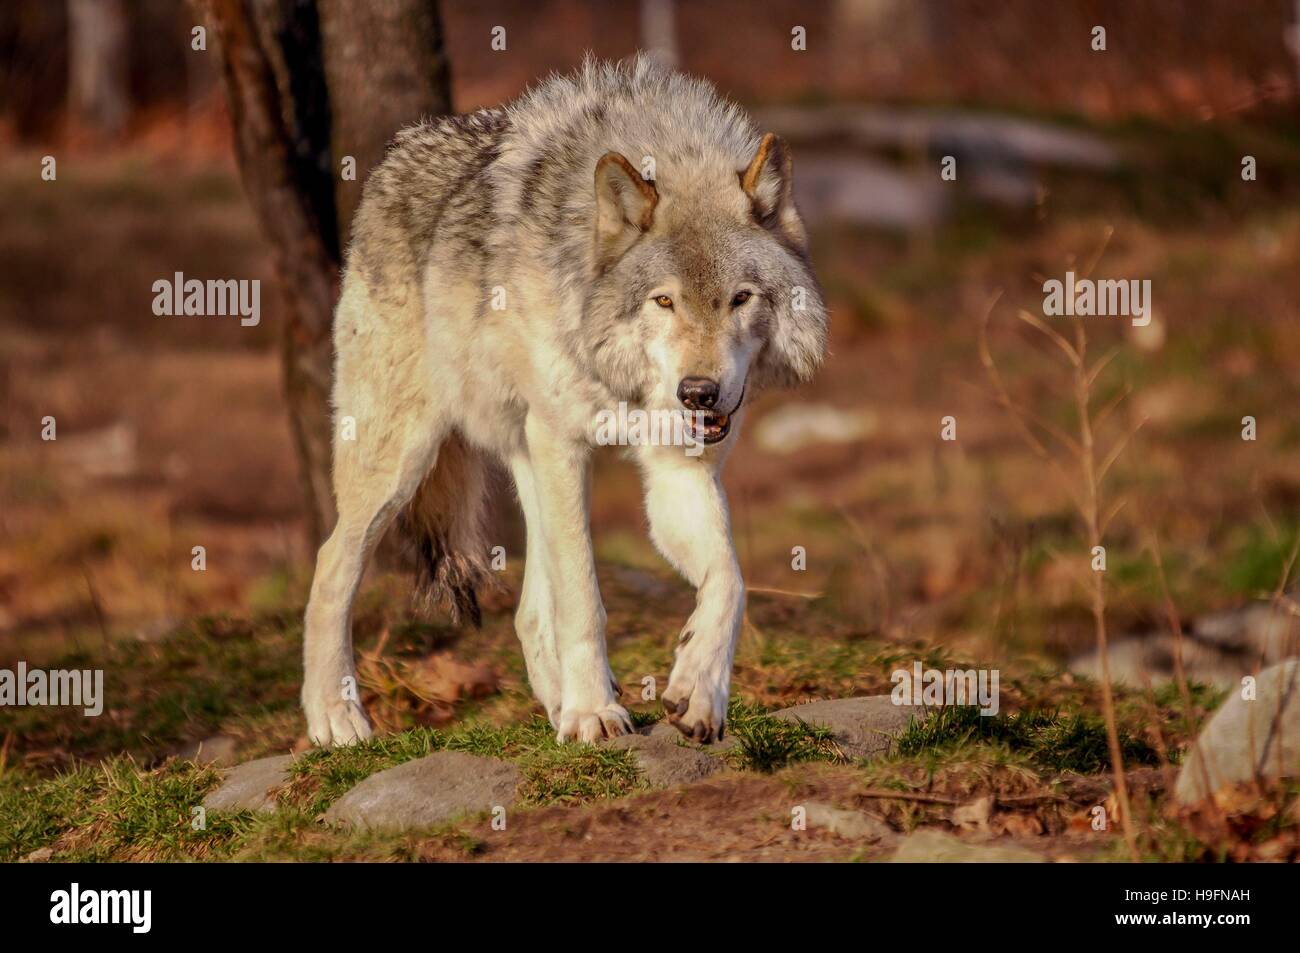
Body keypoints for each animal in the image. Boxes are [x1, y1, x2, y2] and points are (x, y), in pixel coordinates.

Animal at [302, 55, 827, 747]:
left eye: (741, 298)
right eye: (664, 301)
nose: (698, 393)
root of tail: (399, 151)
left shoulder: (677, 469)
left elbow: (730, 582)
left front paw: (699, 690)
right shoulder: (565, 447)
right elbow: (584, 601)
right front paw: (594, 714)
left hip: (523, 458)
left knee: (527, 612)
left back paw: (555, 704)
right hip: (403, 462)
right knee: (330, 565)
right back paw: (335, 718)